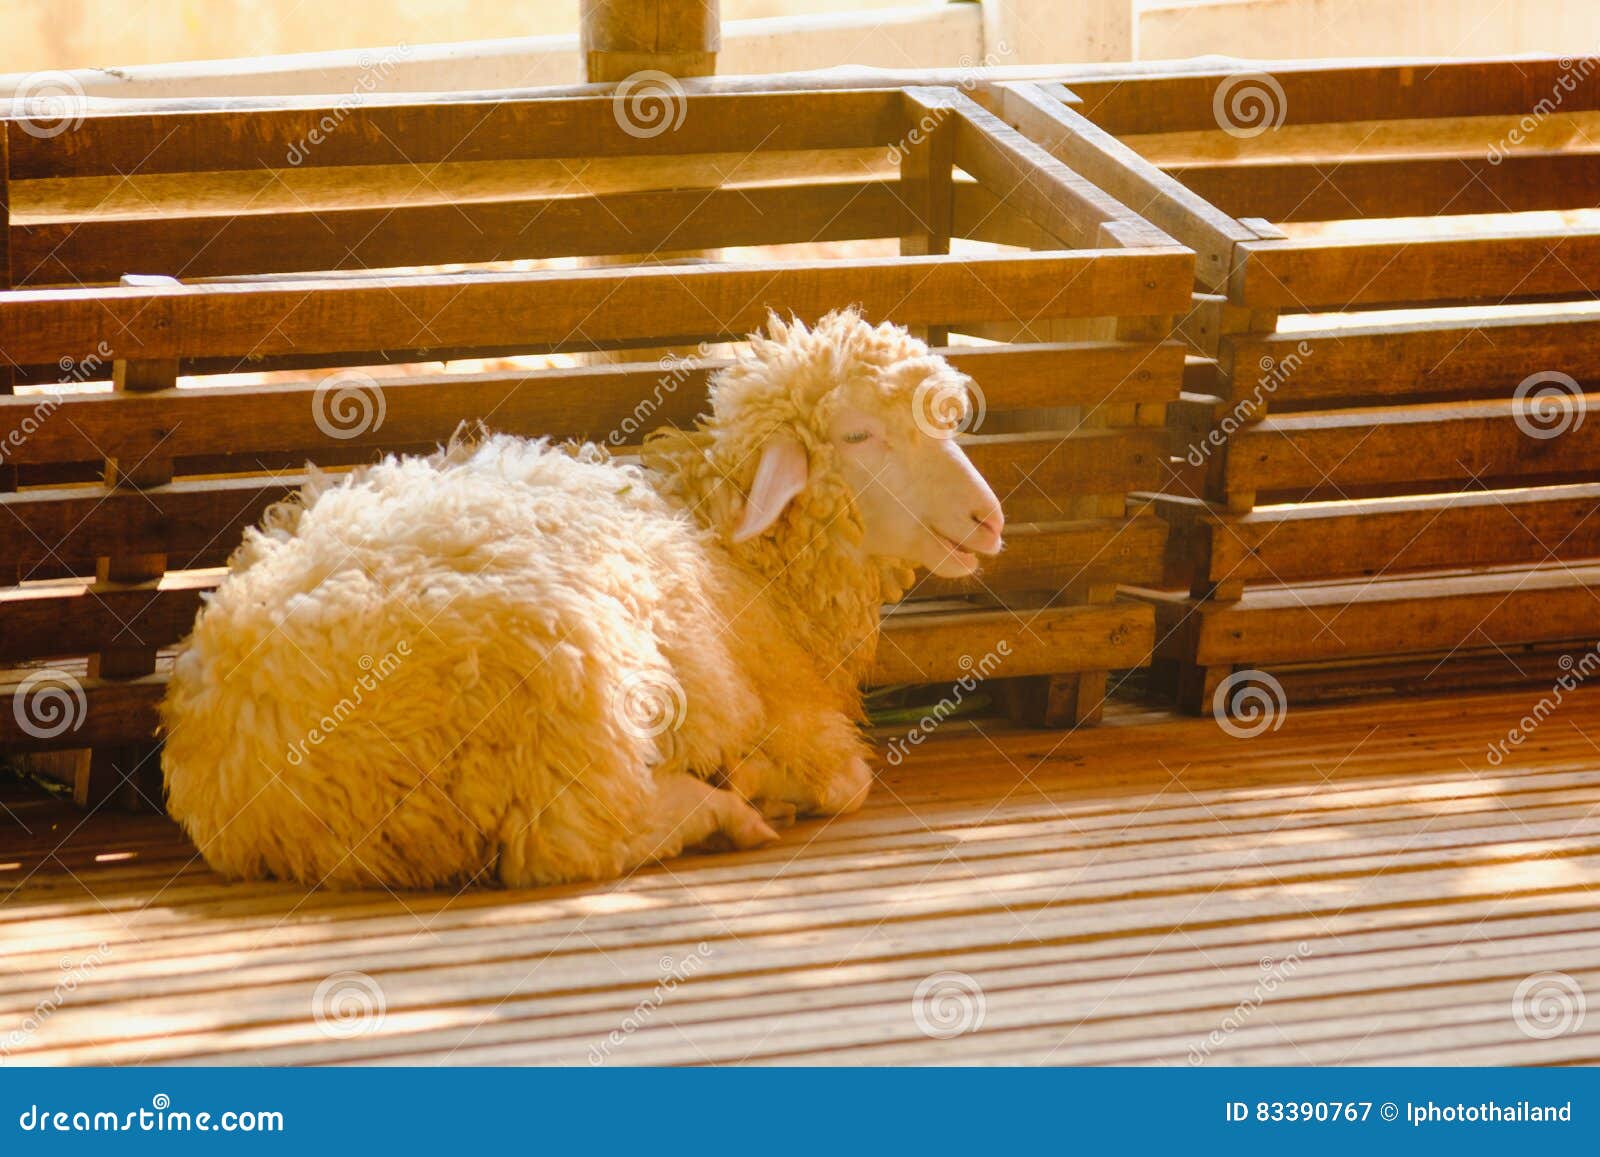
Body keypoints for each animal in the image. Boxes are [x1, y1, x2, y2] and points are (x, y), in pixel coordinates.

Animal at [160, 310, 1005, 888]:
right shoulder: (789, 716)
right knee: (569, 842)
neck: (741, 550)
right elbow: (846, 781)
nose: (989, 518)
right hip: (579, 694)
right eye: (861, 436)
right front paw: (762, 779)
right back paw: (727, 810)